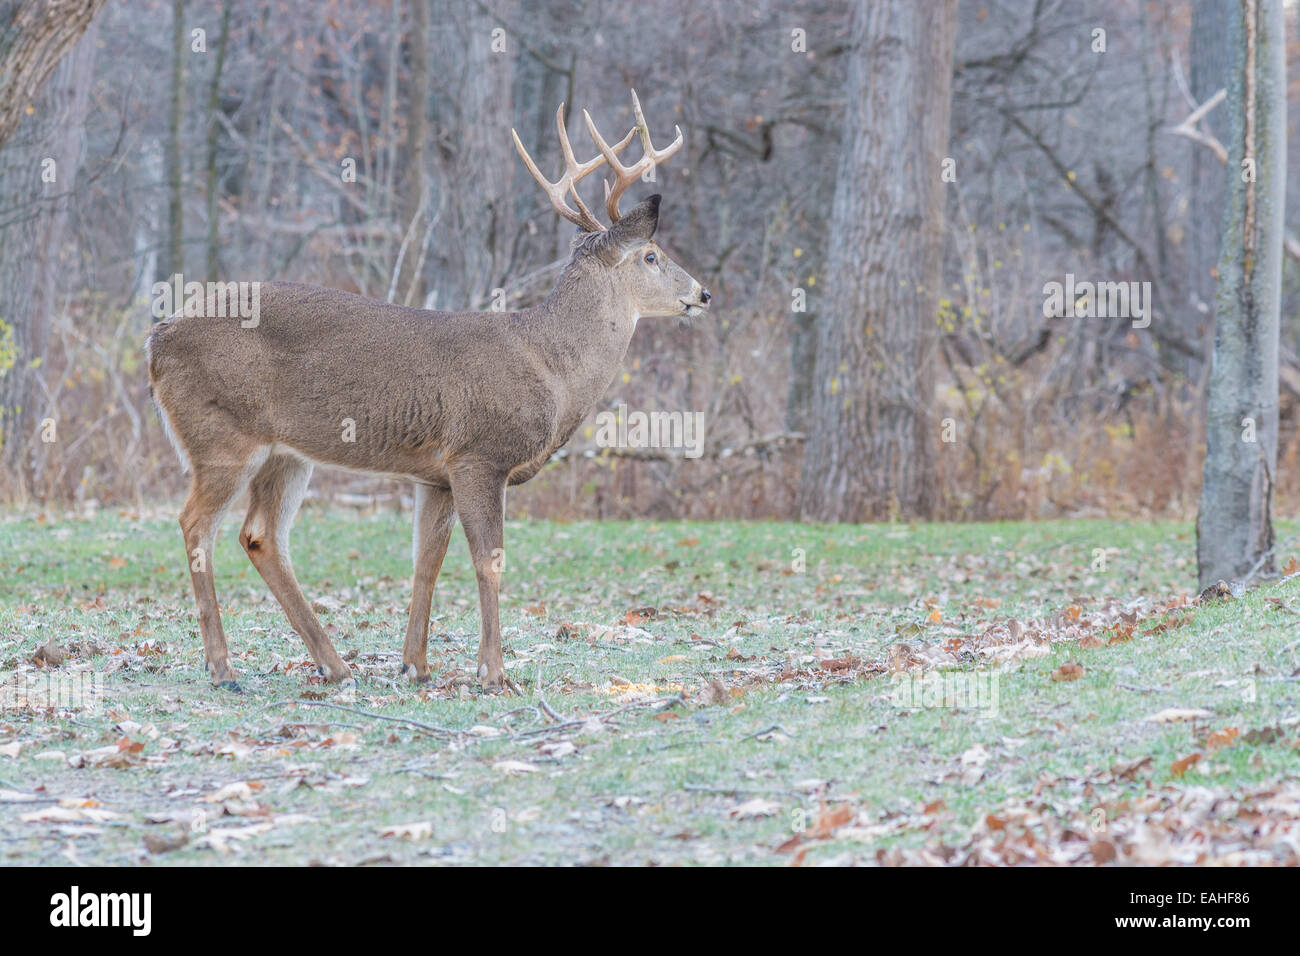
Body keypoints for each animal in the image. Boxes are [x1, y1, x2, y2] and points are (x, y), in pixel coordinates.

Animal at [146, 90, 710, 694]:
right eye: (651, 256)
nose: (703, 293)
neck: (551, 365)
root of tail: (156, 340)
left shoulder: (434, 475)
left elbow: (427, 561)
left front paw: (414, 664)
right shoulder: (479, 454)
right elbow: (490, 560)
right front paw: (493, 672)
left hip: (285, 452)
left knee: (260, 535)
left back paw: (334, 664)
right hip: (222, 434)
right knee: (195, 524)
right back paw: (223, 667)